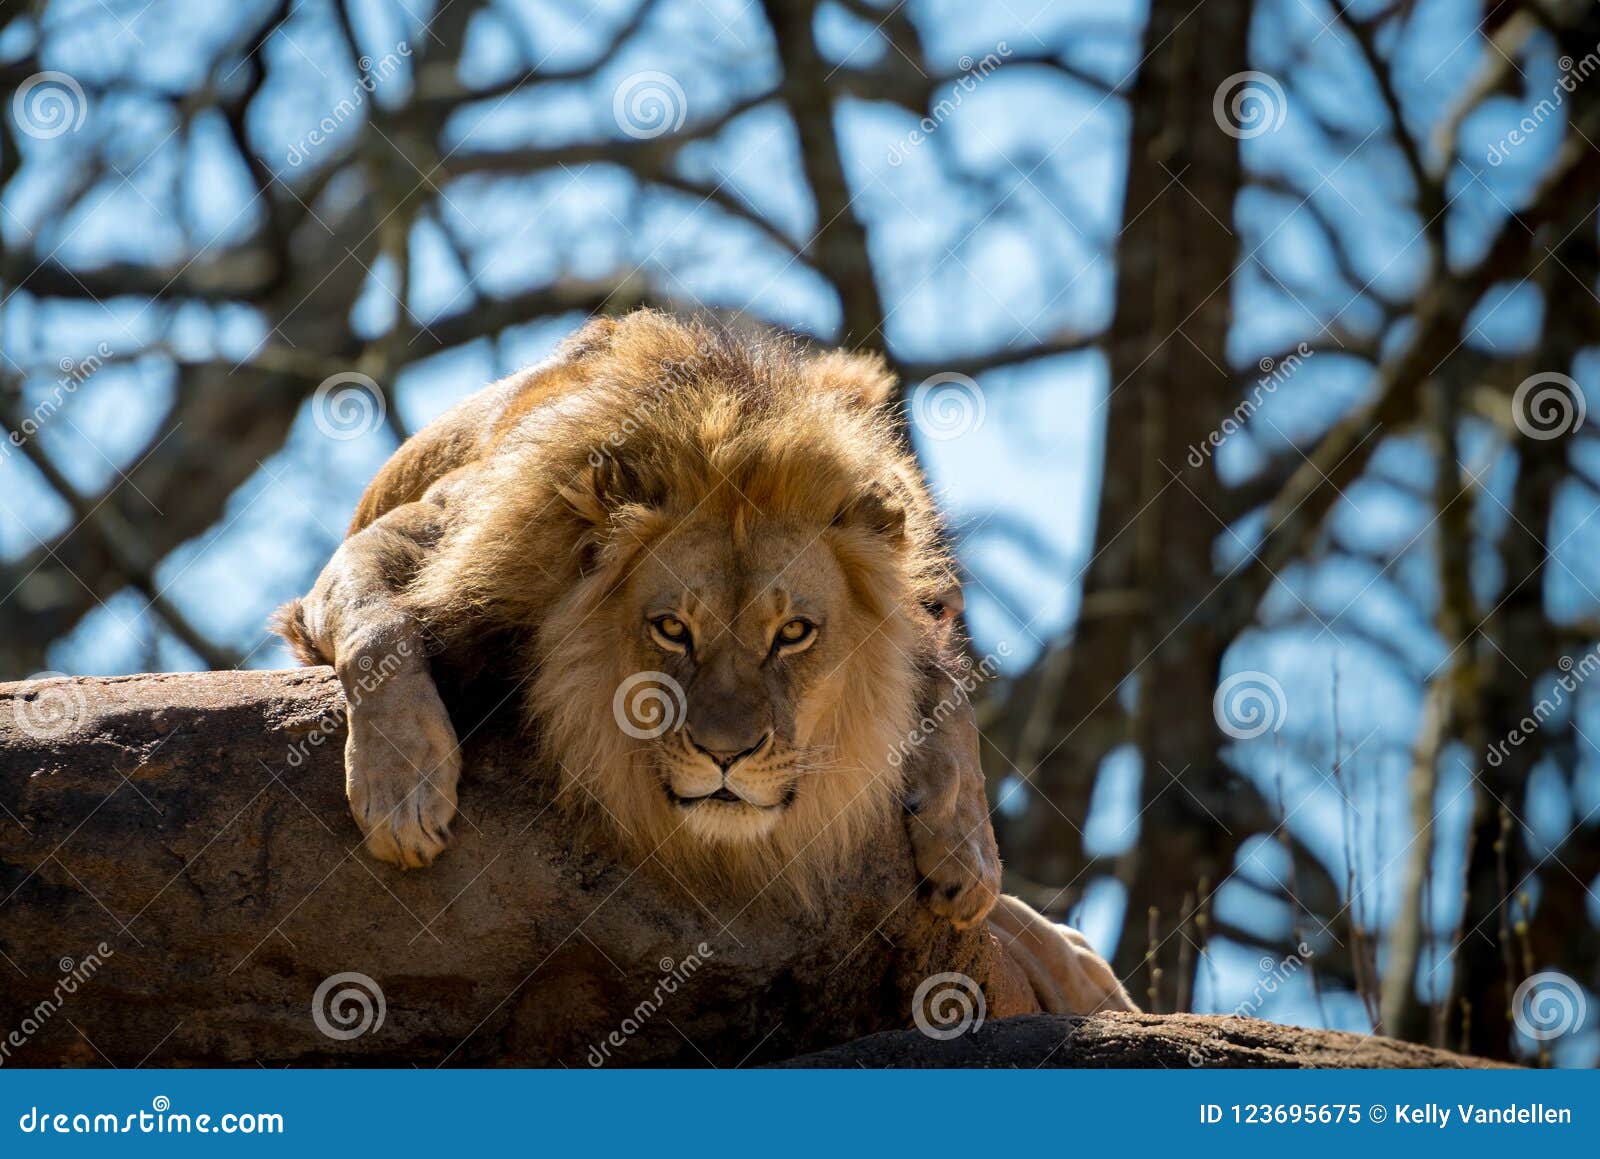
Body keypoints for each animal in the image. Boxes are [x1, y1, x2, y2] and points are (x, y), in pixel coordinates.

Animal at [274, 309, 1133, 1017]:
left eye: (793, 633)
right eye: (671, 629)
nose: (728, 756)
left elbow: (943, 689)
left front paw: (967, 844)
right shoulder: (417, 544)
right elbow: (376, 622)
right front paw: (403, 787)